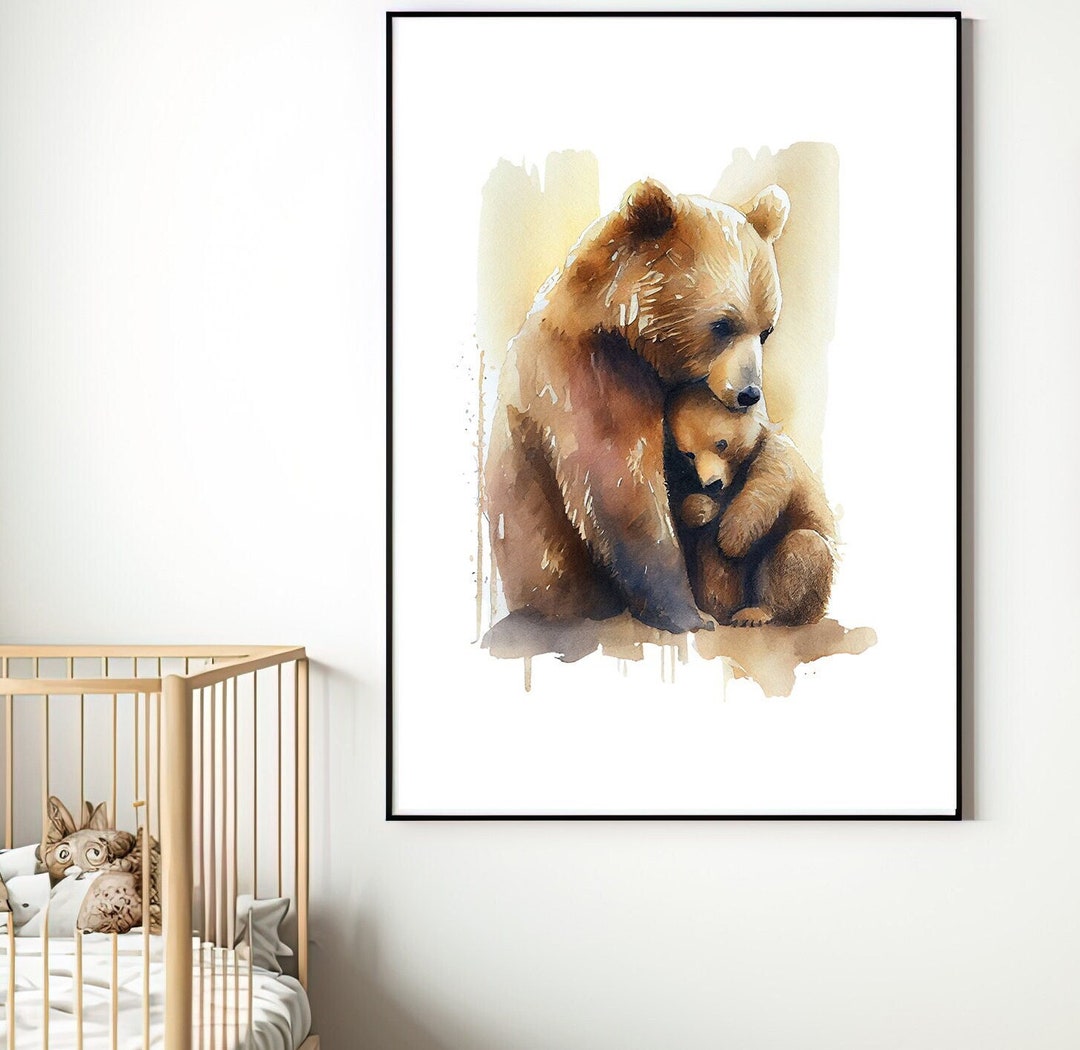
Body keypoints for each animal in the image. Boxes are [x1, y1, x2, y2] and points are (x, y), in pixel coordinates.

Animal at [485, 177, 790, 633]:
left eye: (766, 330)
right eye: (723, 325)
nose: (749, 393)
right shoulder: (593, 378)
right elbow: (622, 488)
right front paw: (690, 614)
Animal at [665, 383, 836, 627]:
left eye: (721, 443)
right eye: (689, 454)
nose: (712, 483)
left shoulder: (774, 455)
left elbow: (761, 492)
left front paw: (730, 541)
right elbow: (692, 508)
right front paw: (702, 508)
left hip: (814, 588)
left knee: (802, 547)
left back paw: (756, 612)